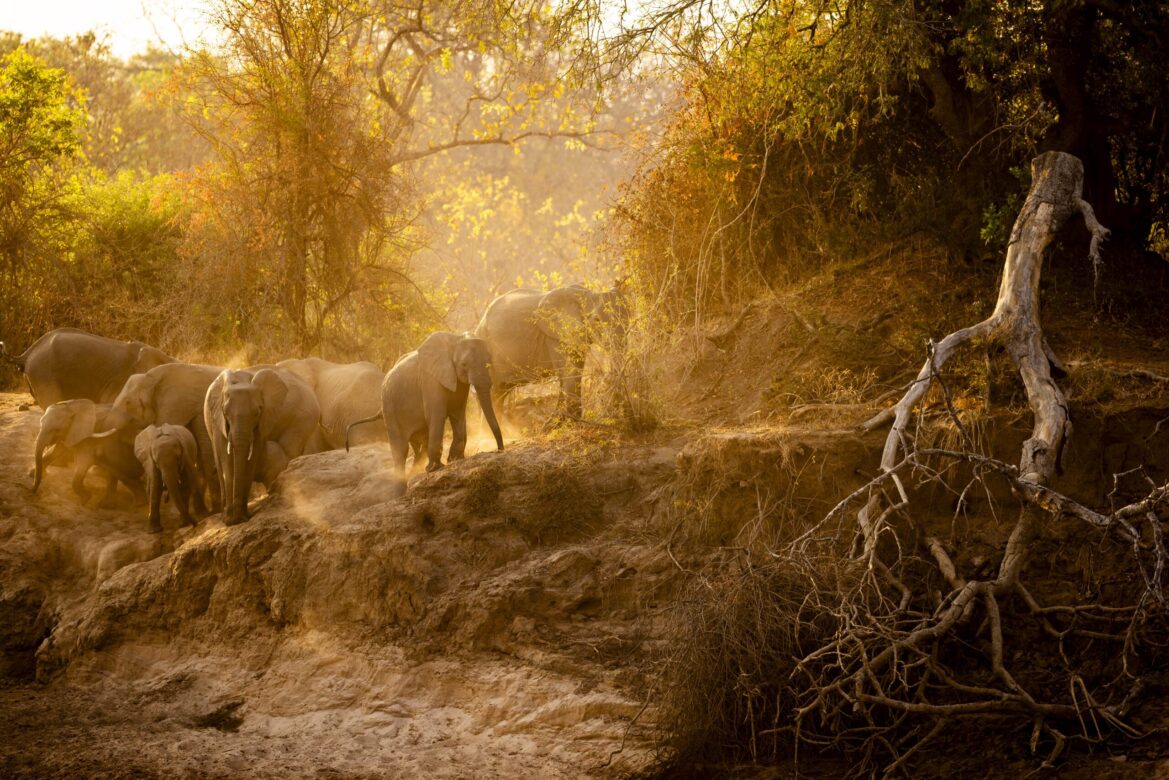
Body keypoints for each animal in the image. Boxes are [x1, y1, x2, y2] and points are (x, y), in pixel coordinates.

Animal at [204, 366, 322, 525]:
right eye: (226, 412)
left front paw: (240, 518)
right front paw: (231, 520)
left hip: (304, 419)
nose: (238, 519)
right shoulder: (218, 419)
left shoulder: (263, 419)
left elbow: (252, 456)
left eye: (257, 412)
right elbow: (226, 459)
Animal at [348, 332, 504, 496]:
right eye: (464, 365)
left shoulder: (457, 381)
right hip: (389, 409)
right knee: (401, 449)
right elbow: (437, 414)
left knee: (419, 446)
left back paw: (415, 473)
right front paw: (436, 468)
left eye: (489, 362)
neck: (455, 340)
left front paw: (455, 460)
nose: (498, 450)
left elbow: (457, 413)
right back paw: (401, 490)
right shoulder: (430, 380)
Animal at [474, 284, 628, 419]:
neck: (586, 293)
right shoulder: (554, 336)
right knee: (493, 392)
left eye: (628, 317)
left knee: (500, 392)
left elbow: (575, 371)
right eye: (596, 320)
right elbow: (569, 373)